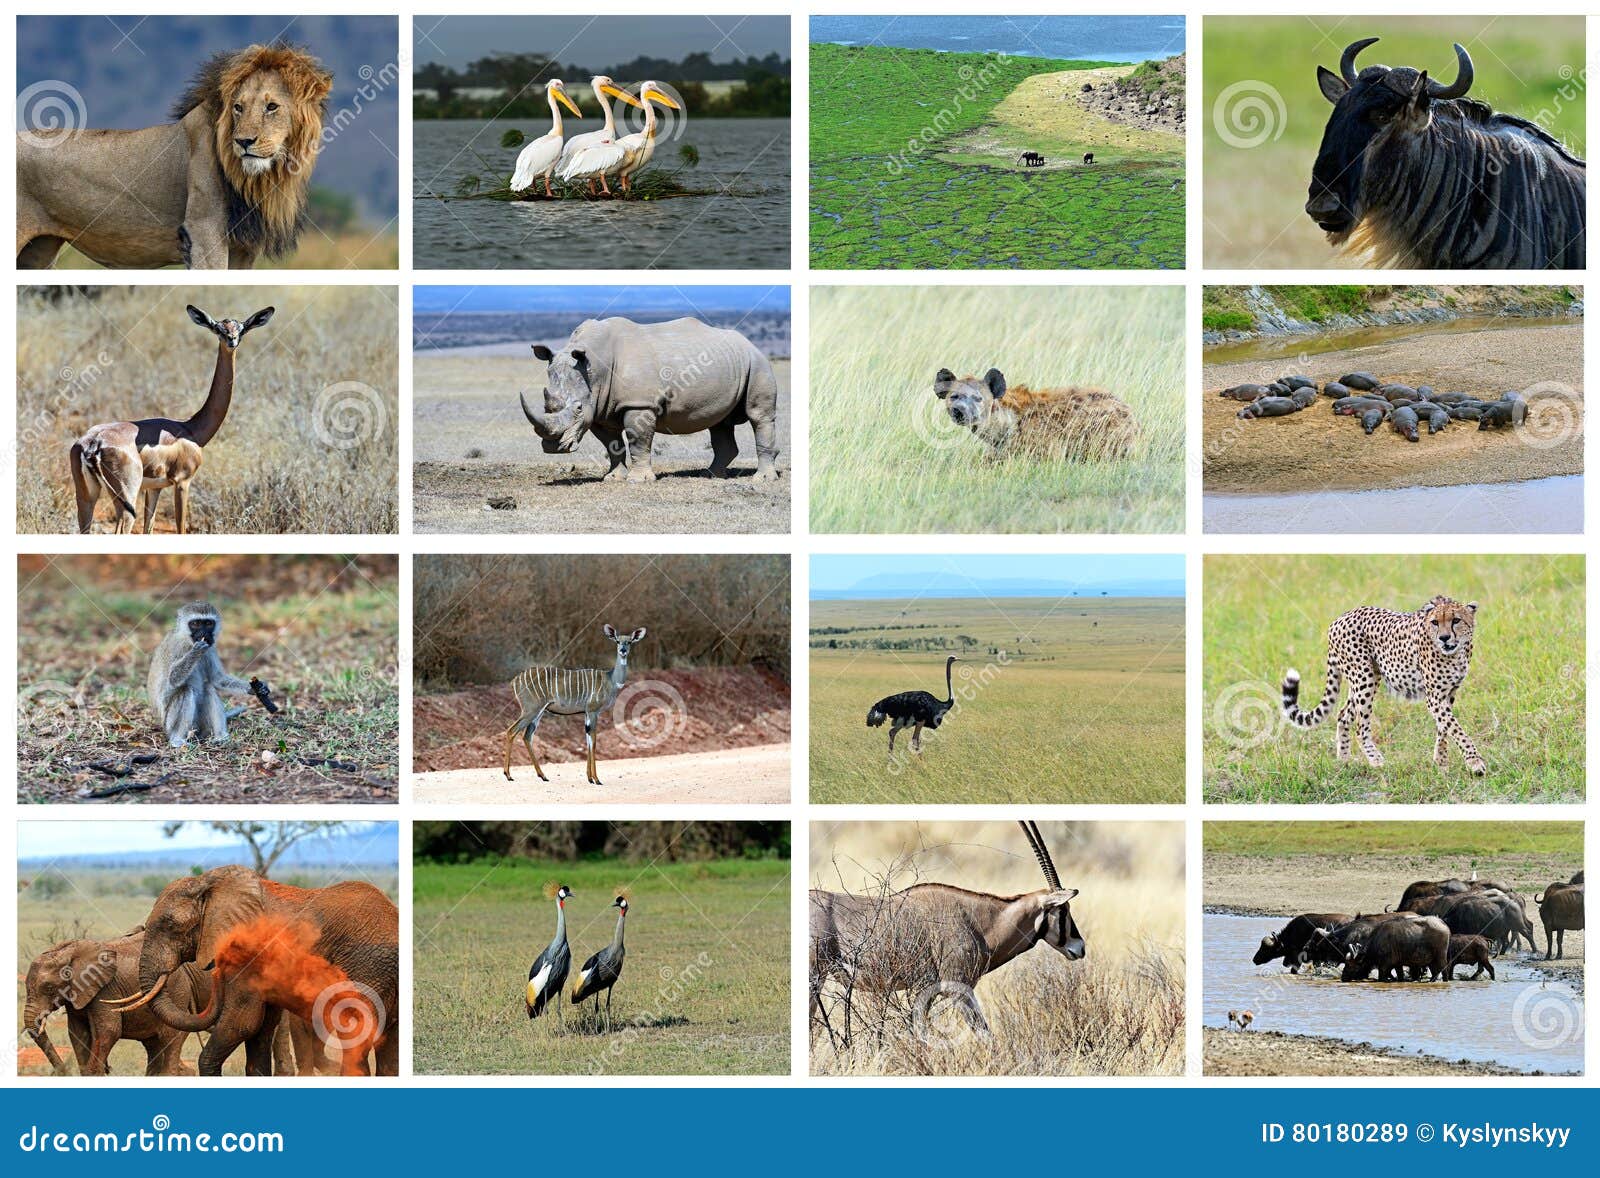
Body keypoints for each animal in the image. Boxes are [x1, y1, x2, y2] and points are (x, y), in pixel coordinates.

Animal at [502, 623, 648, 786]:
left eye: (629, 642)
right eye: (617, 641)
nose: (623, 650)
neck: (611, 680)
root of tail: (515, 680)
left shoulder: (586, 713)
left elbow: (588, 740)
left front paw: (590, 778)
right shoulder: (593, 710)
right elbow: (594, 741)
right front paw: (597, 779)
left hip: (538, 712)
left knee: (527, 736)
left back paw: (543, 776)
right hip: (530, 709)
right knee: (511, 731)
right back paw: (508, 775)